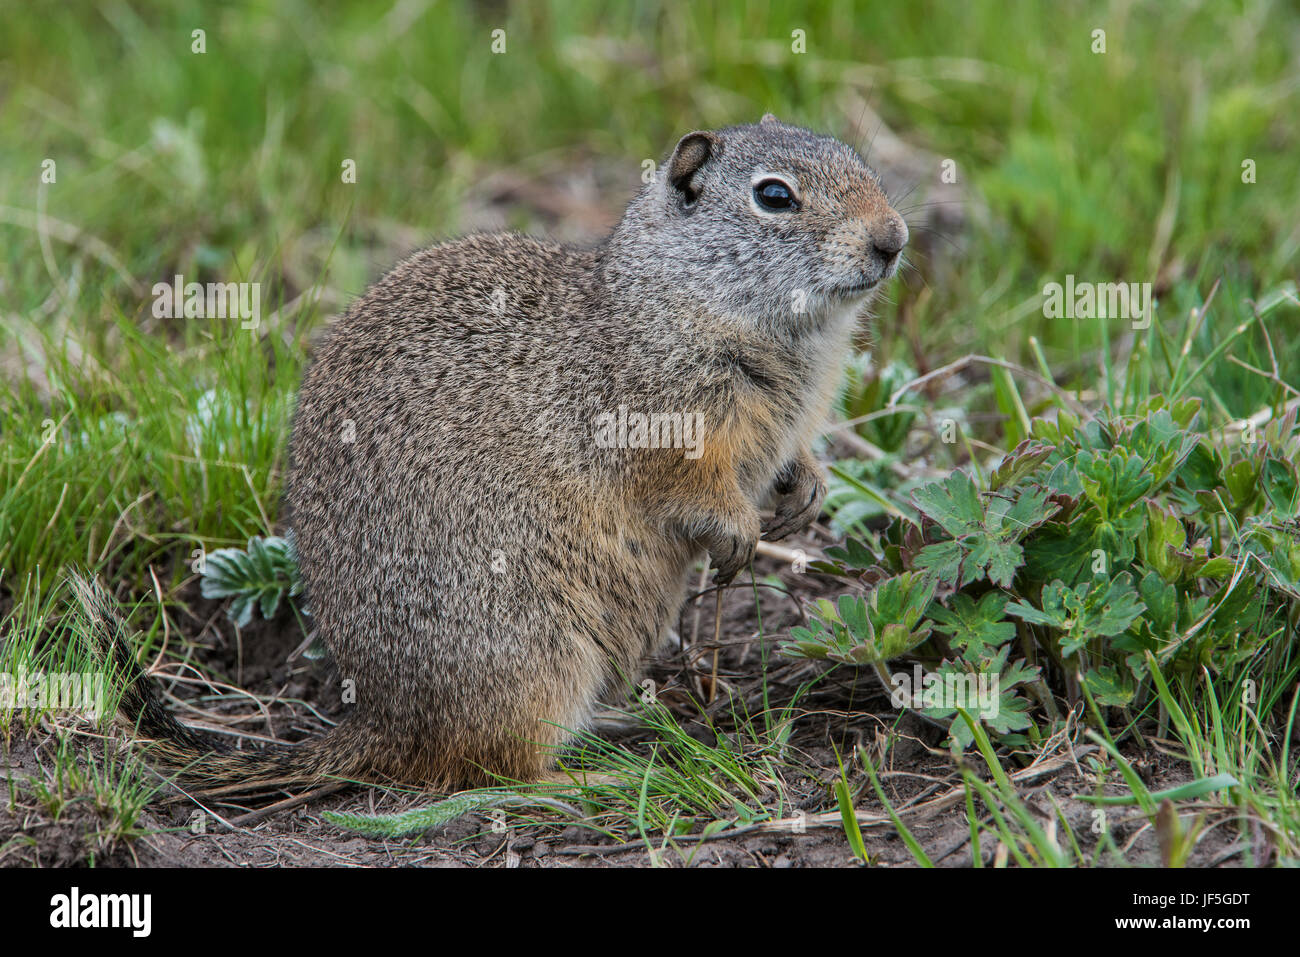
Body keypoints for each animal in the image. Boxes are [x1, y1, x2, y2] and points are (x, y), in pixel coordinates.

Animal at [73, 115, 908, 794]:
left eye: (854, 158)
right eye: (775, 197)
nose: (894, 238)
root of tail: (382, 719)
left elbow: (793, 454)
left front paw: (806, 488)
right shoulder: (658, 419)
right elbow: (691, 484)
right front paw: (741, 531)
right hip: (536, 651)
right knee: (491, 767)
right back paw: (587, 777)